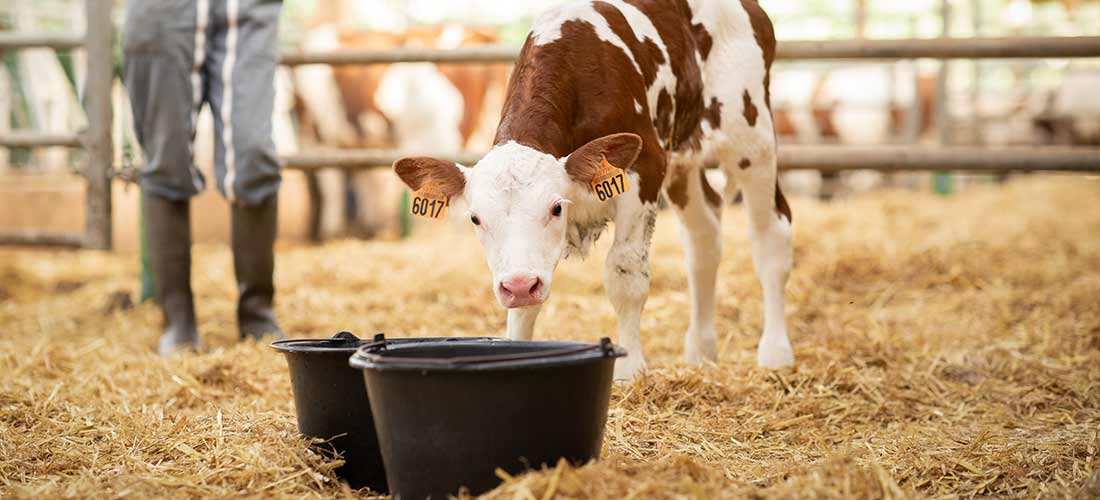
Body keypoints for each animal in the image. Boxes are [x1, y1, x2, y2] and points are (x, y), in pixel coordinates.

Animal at [394, 0, 793, 381]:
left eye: (556, 208)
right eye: (476, 219)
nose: (519, 285)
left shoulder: (644, 168)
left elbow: (625, 275)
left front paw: (630, 371)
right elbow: (526, 307)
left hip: (751, 140)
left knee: (771, 236)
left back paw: (775, 352)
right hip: (684, 159)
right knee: (703, 239)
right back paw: (701, 350)